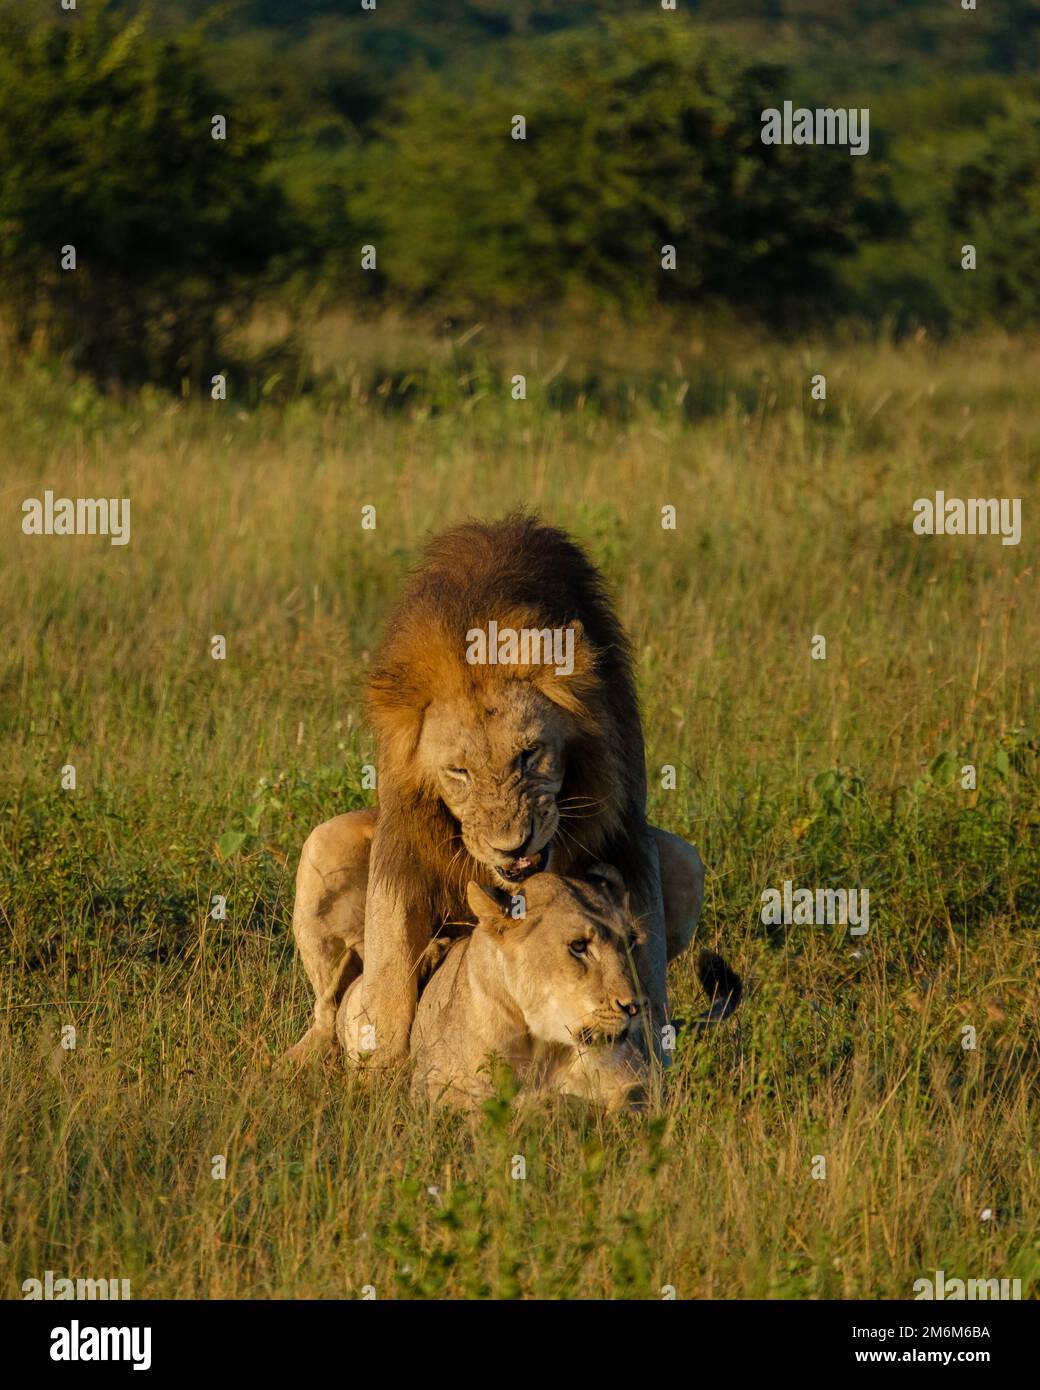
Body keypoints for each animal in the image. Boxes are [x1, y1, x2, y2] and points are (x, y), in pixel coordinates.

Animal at [285, 514, 707, 1067]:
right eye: (459, 772)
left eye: (529, 754)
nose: (512, 846)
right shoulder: (401, 841)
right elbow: (390, 979)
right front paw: (382, 1071)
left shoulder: (627, 836)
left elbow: (648, 976)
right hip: (324, 842)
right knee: (330, 1001)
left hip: (685, 859)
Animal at [336, 865, 652, 1111]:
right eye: (578, 946)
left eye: (630, 941)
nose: (636, 1007)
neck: (545, 1045)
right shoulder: (432, 1086)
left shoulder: (639, 1078)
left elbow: (632, 1103)